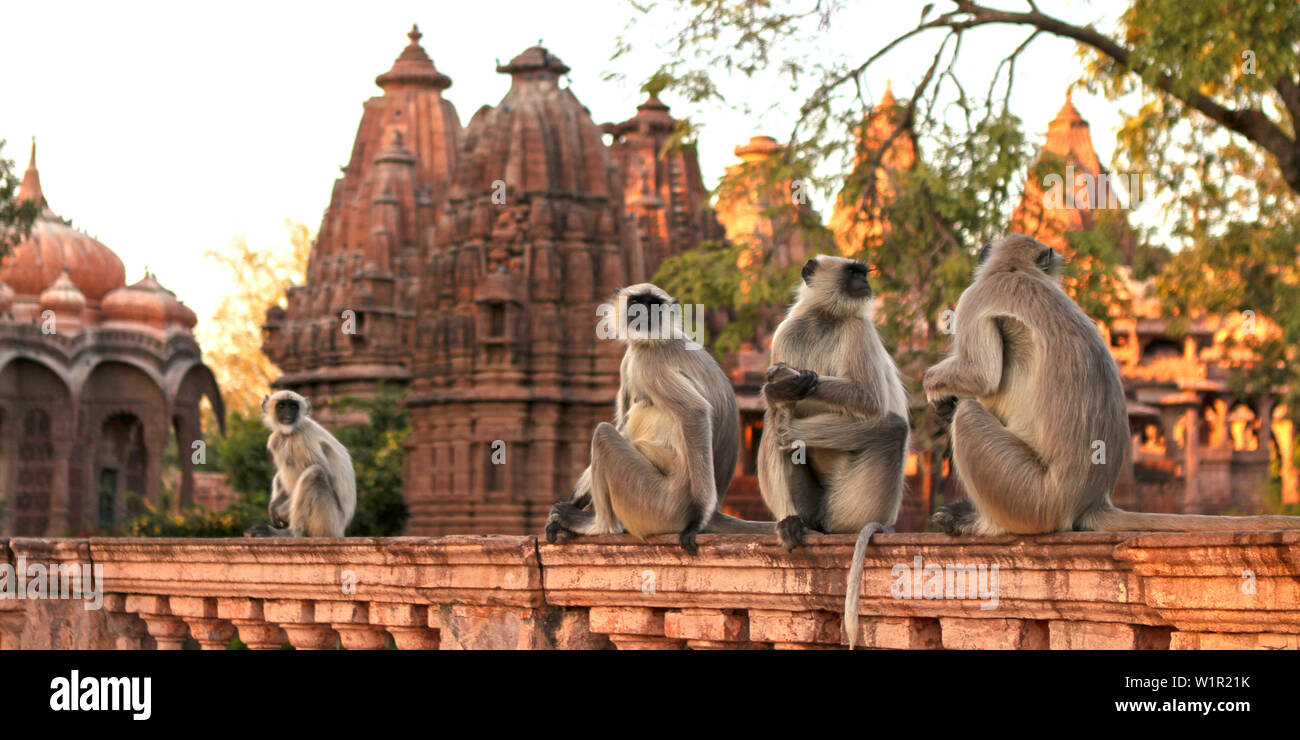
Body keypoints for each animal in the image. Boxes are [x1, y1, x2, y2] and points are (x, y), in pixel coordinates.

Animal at [244, 390, 357, 538]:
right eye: (281, 405)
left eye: (293, 406)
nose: (288, 415)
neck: (290, 432)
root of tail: (340, 531)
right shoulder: (276, 439)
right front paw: (274, 507)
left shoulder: (302, 439)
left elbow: (326, 473)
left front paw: (281, 511)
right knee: (280, 477)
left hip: (329, 523)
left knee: (315, 473)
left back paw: (290, 533)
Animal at [546, 283, 773, 555]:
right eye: (637, 302)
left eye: (653, 305)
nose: (644, 314)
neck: (651, 343)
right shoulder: (630, 360)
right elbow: (622, 423)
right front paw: (575, 501)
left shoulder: (648, 363)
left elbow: (695, 411)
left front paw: (697, 522)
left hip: (658, 502)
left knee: (603, 433)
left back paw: (601, 526)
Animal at [757, 255, 911, 648]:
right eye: (853, 272)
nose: (866, 283)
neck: (824, 318)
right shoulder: (786, 332)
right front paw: (786, 386)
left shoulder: (858, 328)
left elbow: (869, 401)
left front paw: (793, 380)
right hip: (812, 507)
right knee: (771, 428)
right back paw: (790, 521)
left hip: (851, 503)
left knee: (892, 426)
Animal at [923, 233, 1300, 536]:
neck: (1017, 271)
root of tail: (1091, 501)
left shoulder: (976, 296)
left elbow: (982, 374)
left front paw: (934, 386)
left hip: (1028, 495)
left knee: (968, 415)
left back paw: (980, 523)